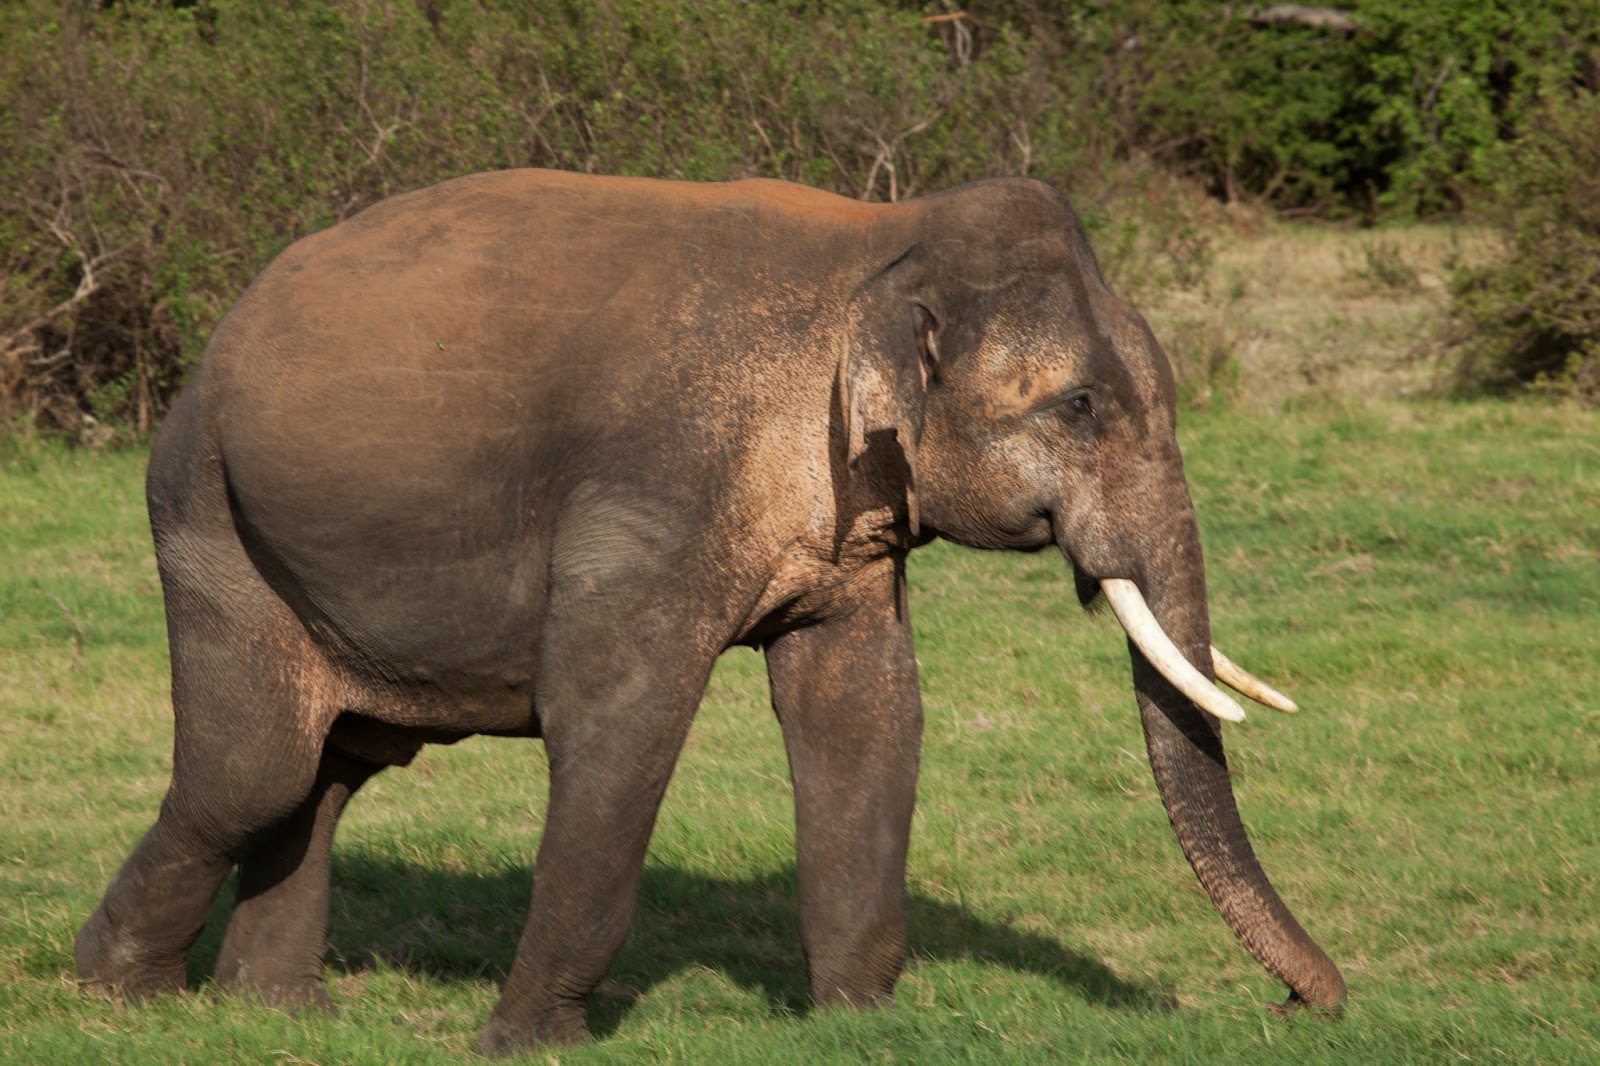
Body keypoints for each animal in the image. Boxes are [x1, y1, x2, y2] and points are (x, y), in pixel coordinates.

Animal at [74, 169, 1345, 1053]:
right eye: (1079, 405)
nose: (1299, 1008)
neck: (878, 240)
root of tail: (222, 331)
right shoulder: (653, 489)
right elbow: (613, 719)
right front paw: (523, 1043)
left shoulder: (845, 521)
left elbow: (864, 711)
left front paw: (859, 1026)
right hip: (208, 519)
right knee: (254, 772)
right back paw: (114, 997)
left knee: (335, 767)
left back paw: (276, 1015)